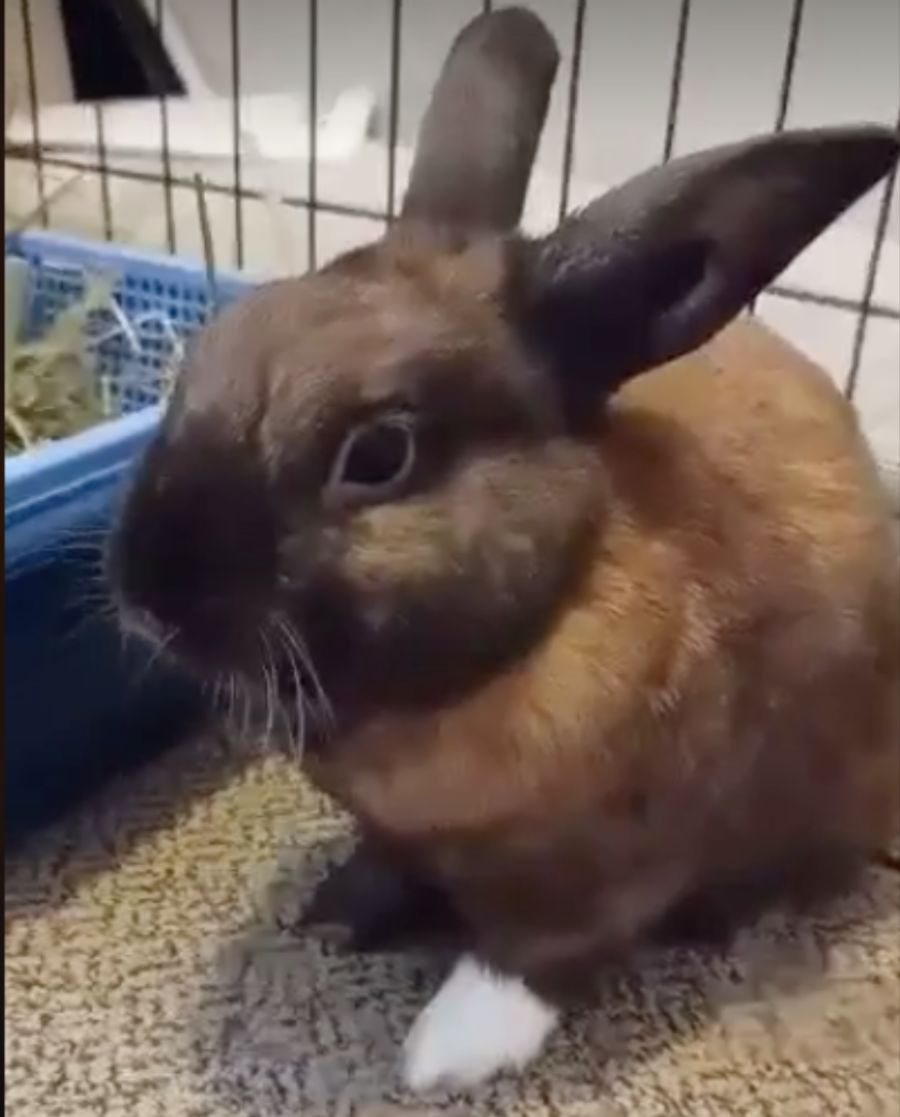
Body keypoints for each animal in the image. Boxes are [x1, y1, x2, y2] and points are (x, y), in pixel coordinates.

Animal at [109, 3, 900, 1095]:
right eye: (203, 349)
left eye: (379, 454)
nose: (148, 592)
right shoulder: (394, 832)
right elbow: (382, 868)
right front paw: (332, 917)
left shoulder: (598, 872)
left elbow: (528, 963)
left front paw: (441, 1058)